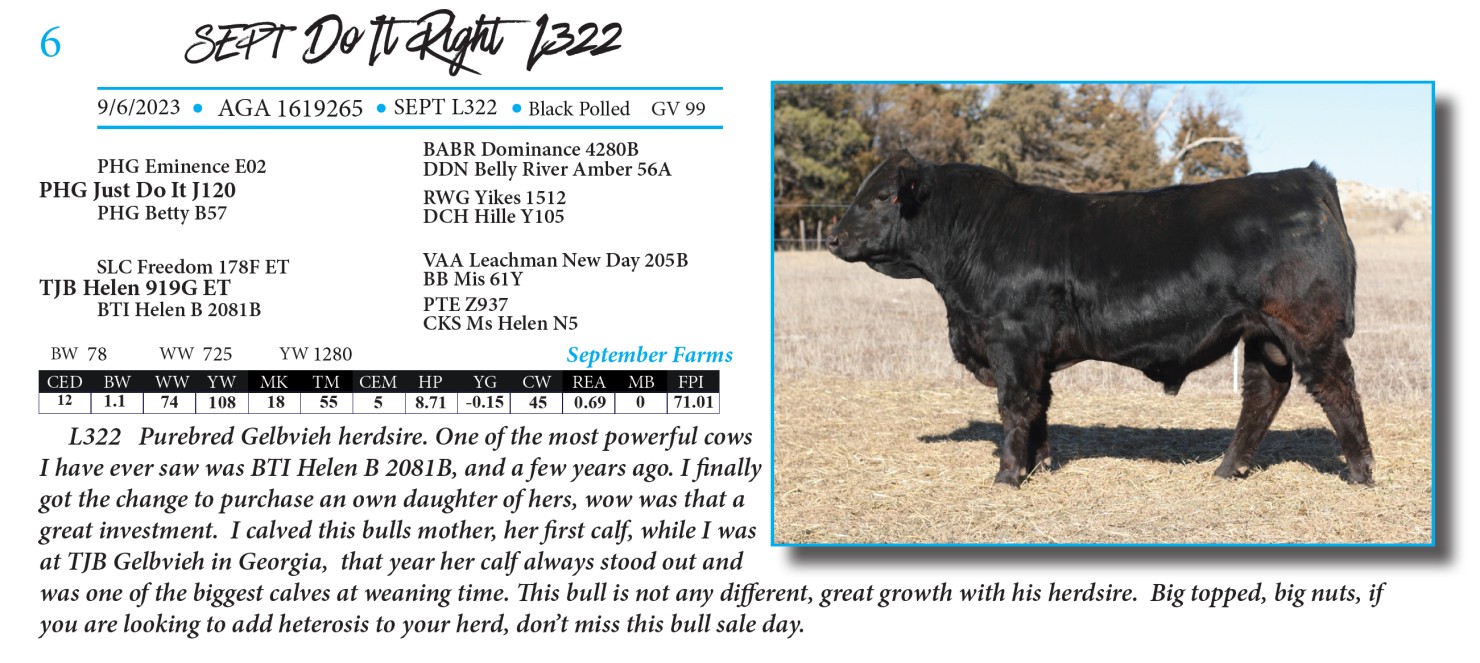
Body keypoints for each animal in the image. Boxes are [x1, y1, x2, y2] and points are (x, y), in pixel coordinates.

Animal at [826, 150, 1372, 487]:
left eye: (883, 197)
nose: (832, 237)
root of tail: (1304, 176)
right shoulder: (1034, 353)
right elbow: (1039, 407)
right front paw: (1039, 466)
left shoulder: (1011, 341)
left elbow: (1015, 406)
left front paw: (1007, 475)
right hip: (1262, 333)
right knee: (1263, 393)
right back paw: (1228, 470)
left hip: (1309, 327)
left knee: (1336, 388)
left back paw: (1362, 472)